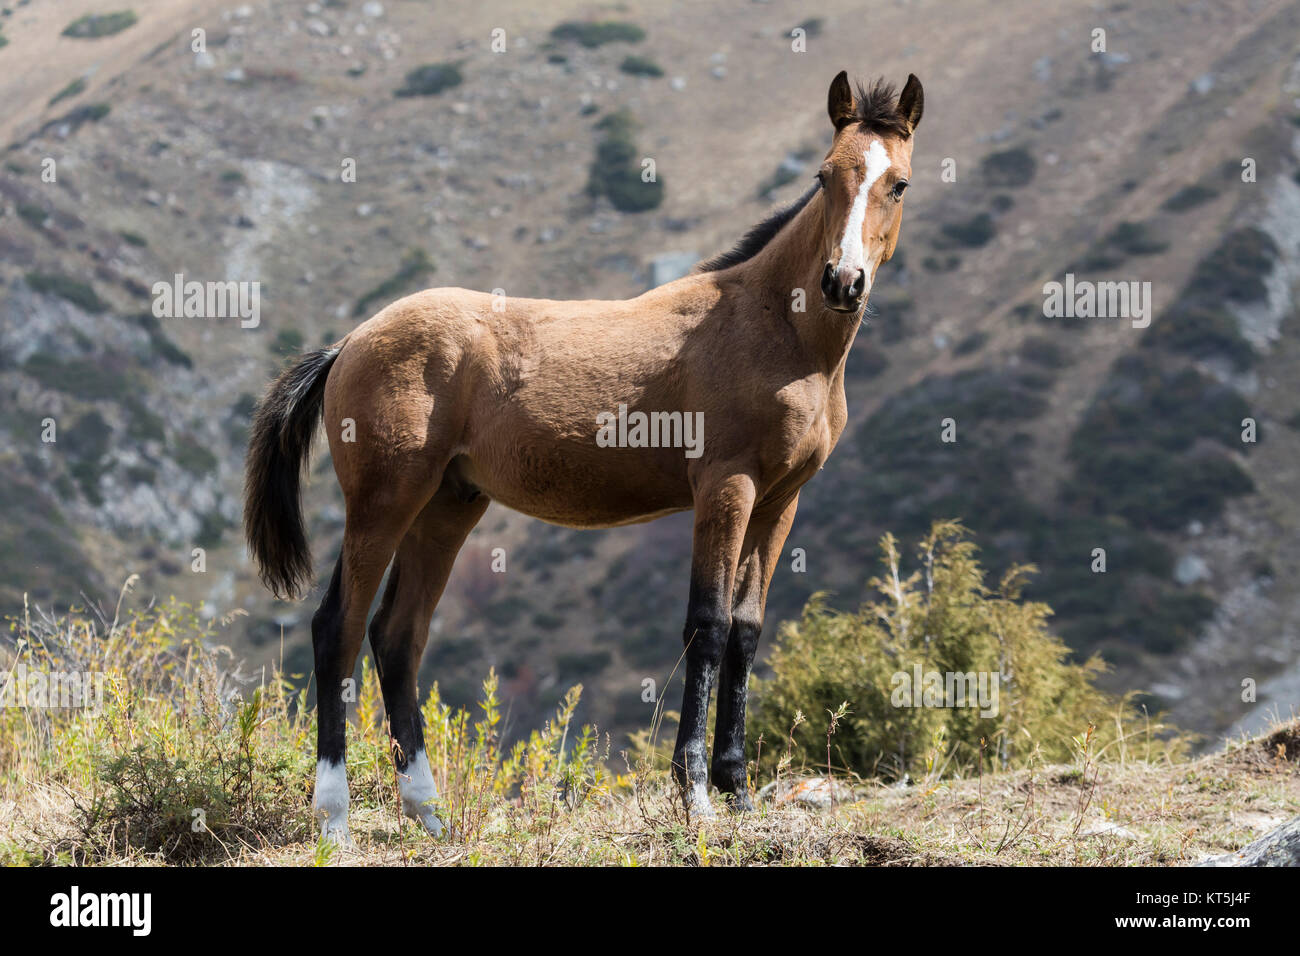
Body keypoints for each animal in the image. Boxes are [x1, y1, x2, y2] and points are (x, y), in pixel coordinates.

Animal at [244, 70, 923, 842]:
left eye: (898, 184)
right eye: (825, 174)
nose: (843, 281)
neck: (775, 328)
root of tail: (350, 342)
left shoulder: (781, 499)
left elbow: (747, 632)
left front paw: (739, 792)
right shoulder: (727, 487)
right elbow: (708, 626)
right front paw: (694, 795)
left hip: (448, 505)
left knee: (397, 636)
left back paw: (429, 813)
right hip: (384, 501)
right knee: (340, 628)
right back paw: (334, 816)